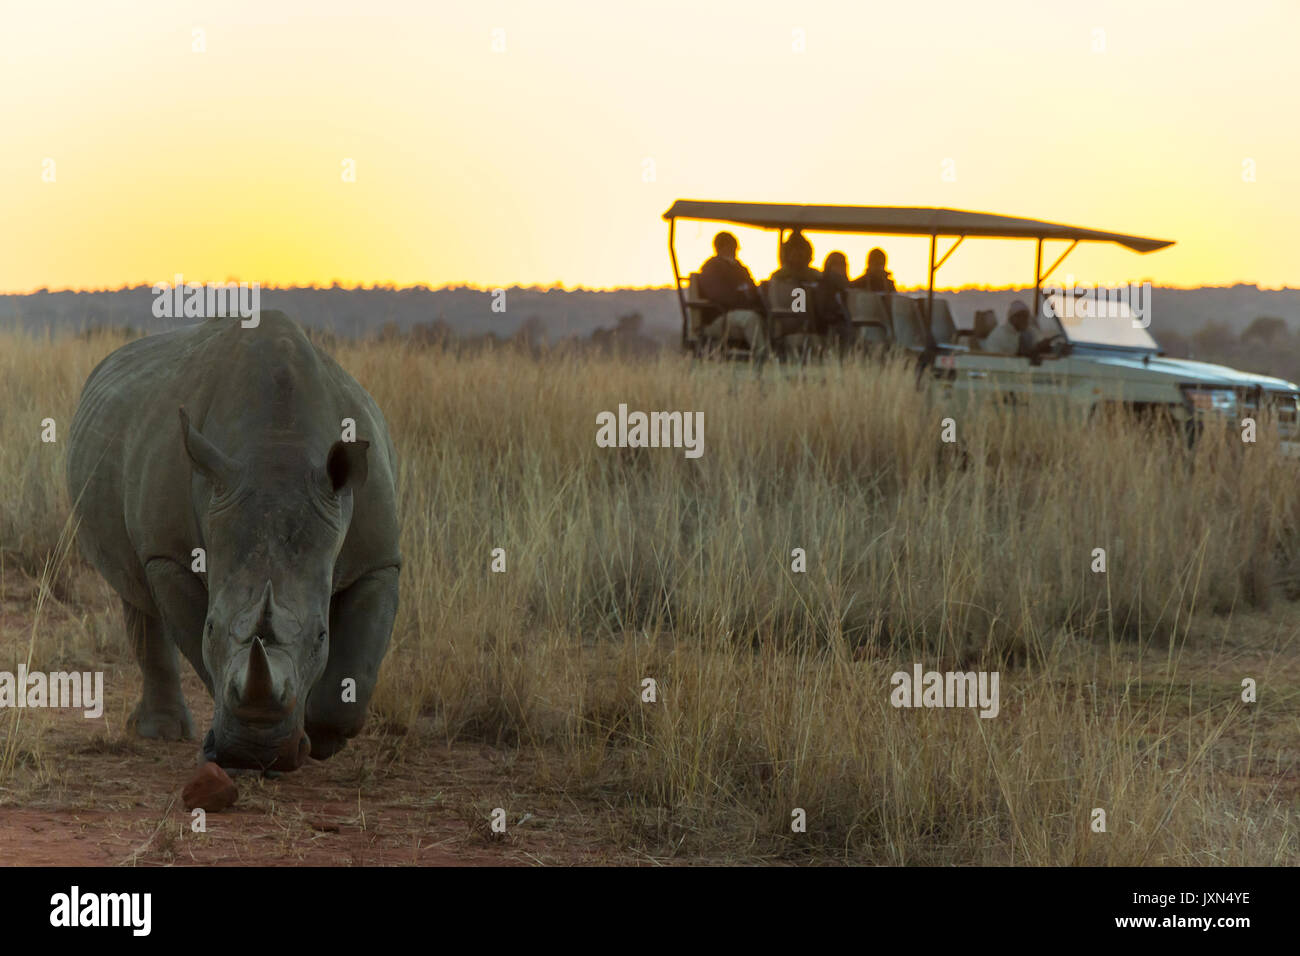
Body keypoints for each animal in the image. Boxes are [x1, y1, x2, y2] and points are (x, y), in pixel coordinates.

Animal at [67, 311, 401, 771]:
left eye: (321, 636)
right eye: (211, 628)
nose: (255, 755)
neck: (279, 447)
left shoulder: (380, 558)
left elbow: (357, 669)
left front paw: (320, 738)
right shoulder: (168, 555)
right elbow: (201, 651)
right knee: (135, 591)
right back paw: (162, 733)